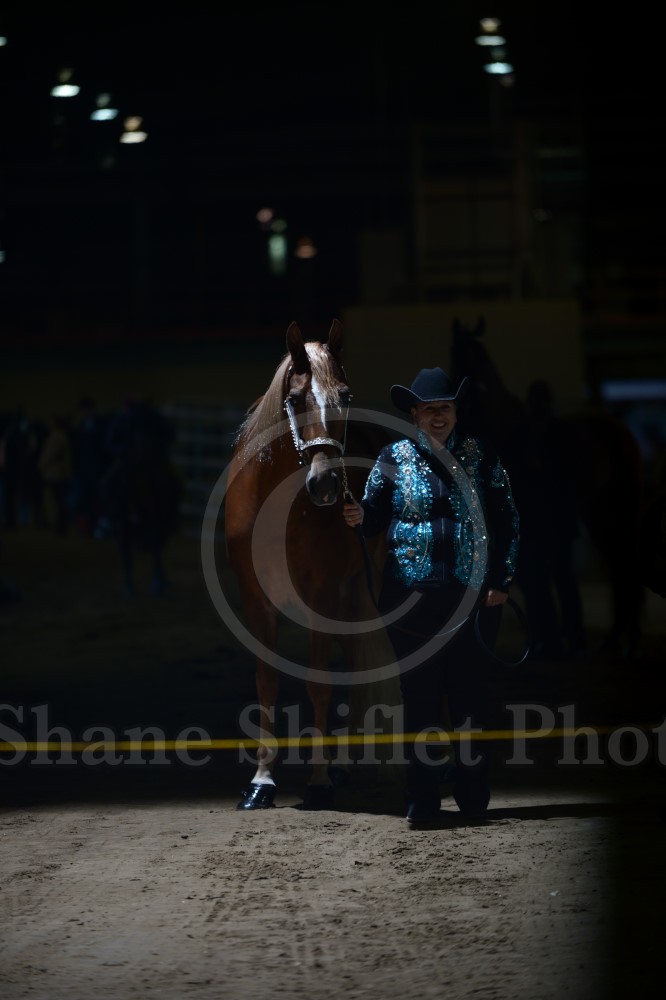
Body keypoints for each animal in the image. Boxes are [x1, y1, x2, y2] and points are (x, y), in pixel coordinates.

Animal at [224, 319, 397, 811]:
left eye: (346, 395)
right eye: (297, 398)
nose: (325, 485)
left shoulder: (322, 594)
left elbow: (319, 685)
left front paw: (318, 780)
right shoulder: (256, 600)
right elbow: (266, 683)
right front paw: (261, 782)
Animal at [450, 316, 645, 659]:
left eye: (479, 360)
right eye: (452, 355)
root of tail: (616, 425)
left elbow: (532, 580)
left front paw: (547, 643)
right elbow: (529, 581)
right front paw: (542, 642)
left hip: (619, 509)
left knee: (626, 567)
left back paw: (626, 644)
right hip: (599, 515)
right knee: (619, 566)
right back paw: (613, 641)